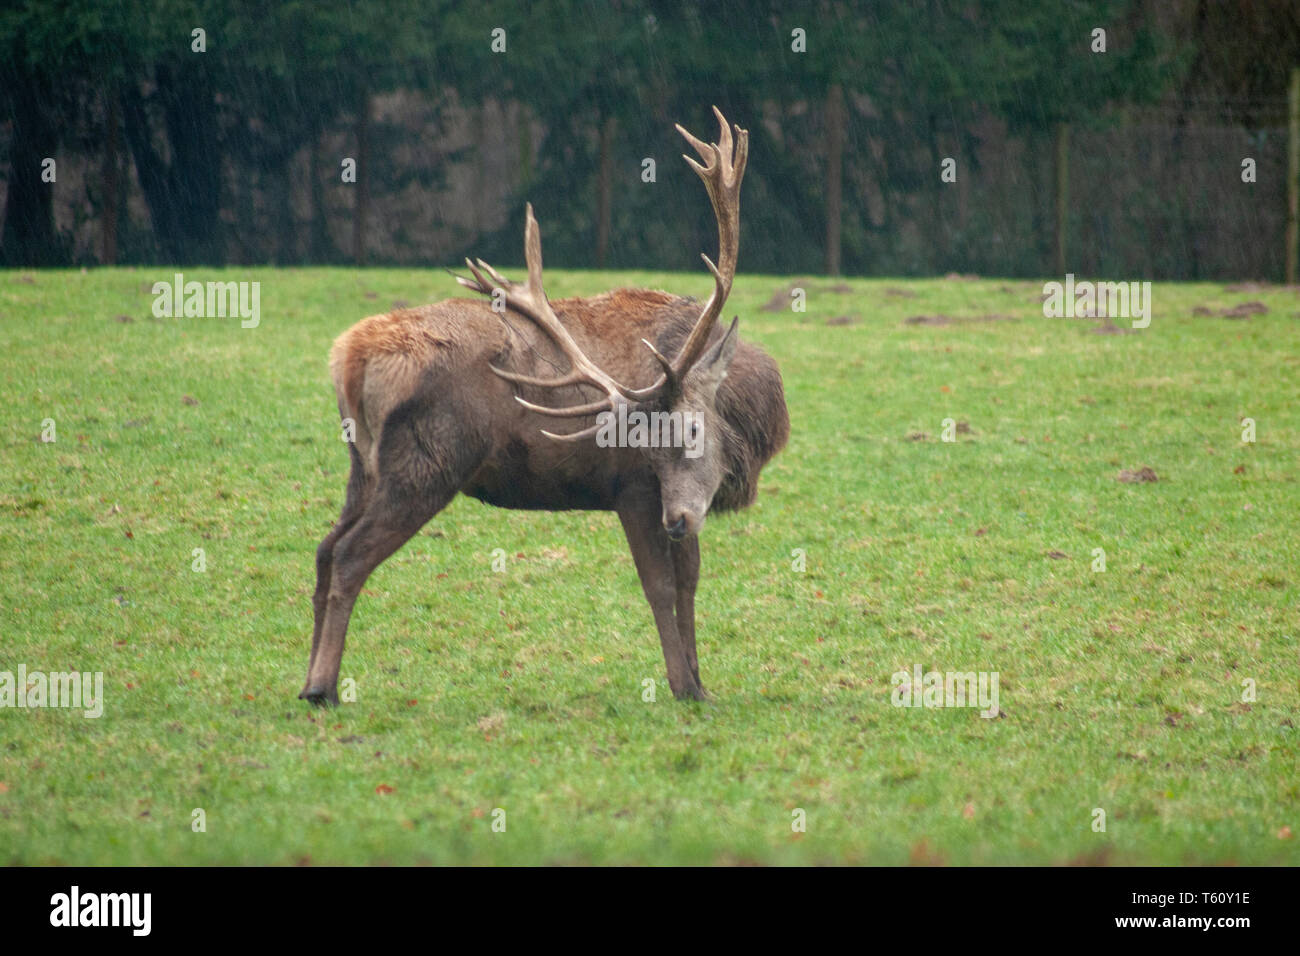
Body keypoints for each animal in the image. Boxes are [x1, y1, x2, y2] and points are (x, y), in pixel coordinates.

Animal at [300, 108, 789, 706]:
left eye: (693, 432)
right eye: (648, 448)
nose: (678, 520)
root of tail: (348, 357)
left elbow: (690, 582)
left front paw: (701, 685)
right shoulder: (633, 488)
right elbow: (660, 587)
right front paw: (680, 686)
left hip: (361, 466)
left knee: (325, 548)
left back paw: (307, 681)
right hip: (425, 463)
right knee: (349, 555)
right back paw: (322, 688)